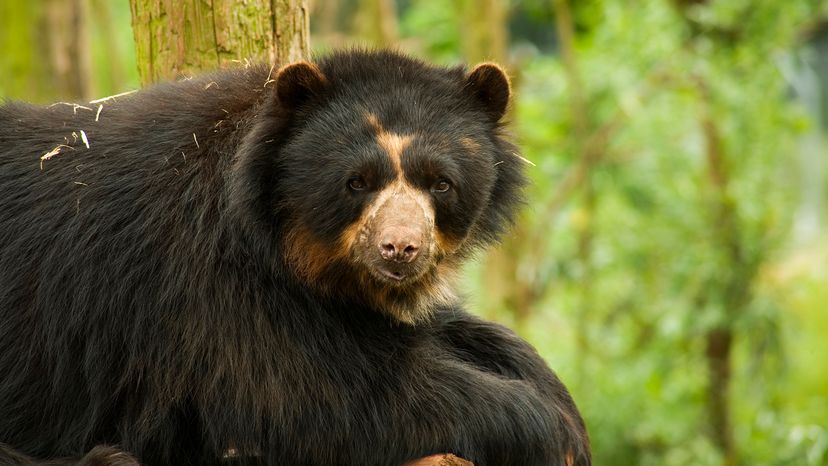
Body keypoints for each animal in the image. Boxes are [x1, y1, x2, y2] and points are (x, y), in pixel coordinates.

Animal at [0, 50, 588, 466]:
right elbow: (328, 400)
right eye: (357, 182)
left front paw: (555, 396)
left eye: (440, 183)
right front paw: (554, 433)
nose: (401, 248)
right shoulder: (211, 289)